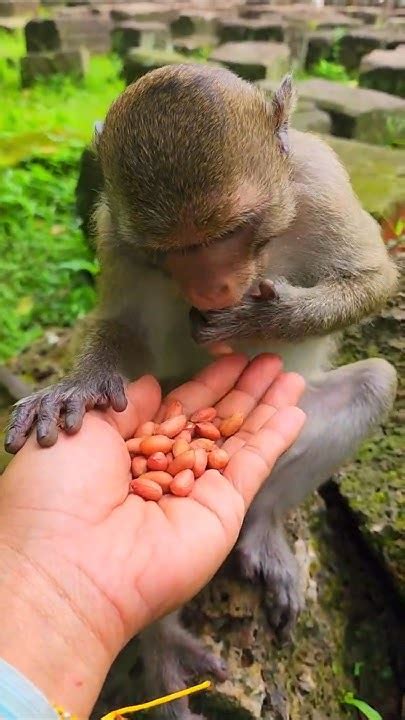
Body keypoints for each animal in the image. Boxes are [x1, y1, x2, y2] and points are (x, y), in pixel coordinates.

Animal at [5, 65, 398, 719]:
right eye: (170, 250)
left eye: (234, 231)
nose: (213, 287)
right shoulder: (114, 233)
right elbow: (125, 327)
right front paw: (82, 385)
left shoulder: (320, 179)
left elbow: (375, 281)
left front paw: (261, 321)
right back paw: (163, 646)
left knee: (374, 384)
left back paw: (262, 520)